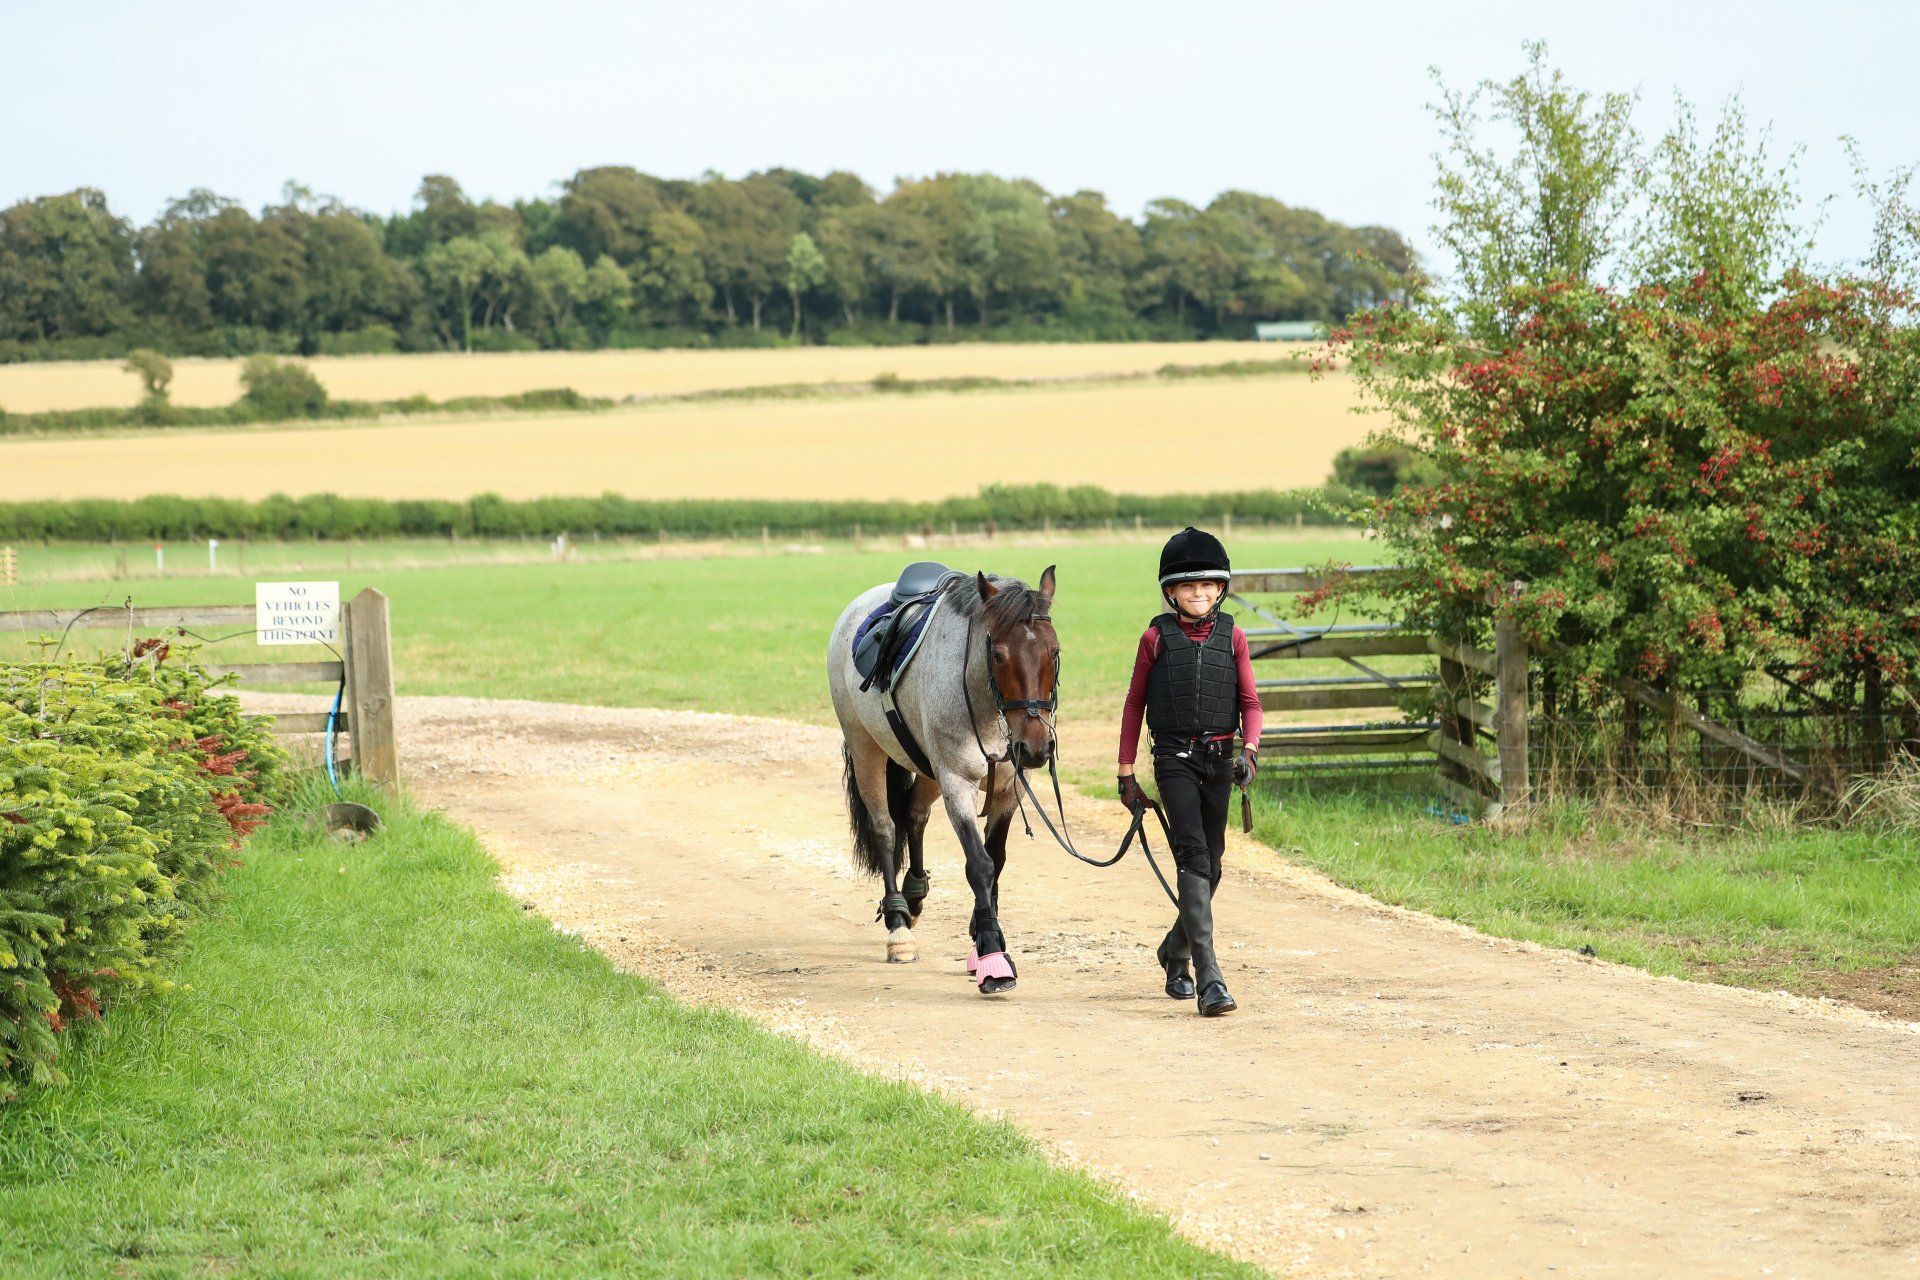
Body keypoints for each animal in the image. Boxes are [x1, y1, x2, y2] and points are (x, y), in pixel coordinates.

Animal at [826, 567, 1059, 994]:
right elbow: (979, 864)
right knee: (886, 829)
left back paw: (914, 895)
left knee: (914, 815)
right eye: (998, 655)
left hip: (926, 767)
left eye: (1054, 652)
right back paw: (898, 926)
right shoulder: (956, 783)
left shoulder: (1009, 790)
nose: (1036, 747)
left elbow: (997, 859)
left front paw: (981, 934)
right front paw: (992, 954)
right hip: (866, 748)